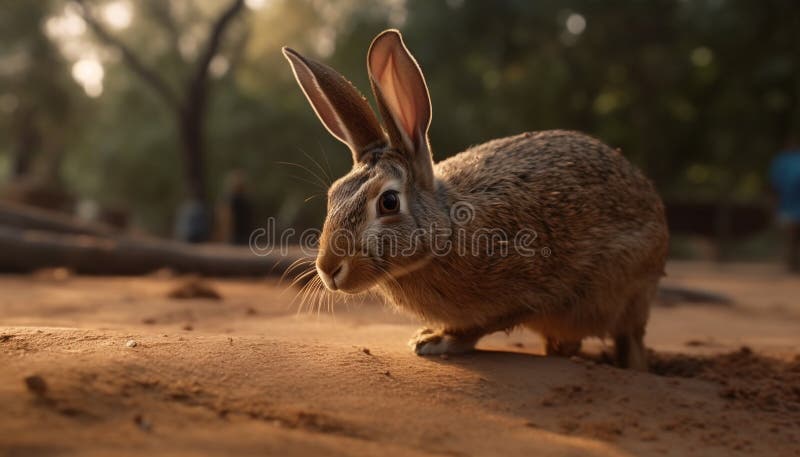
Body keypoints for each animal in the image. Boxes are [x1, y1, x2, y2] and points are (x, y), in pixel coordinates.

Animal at [282, 29, 668, 370]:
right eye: (334, 194)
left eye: (389, 202)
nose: (329, 268)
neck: (447, 229)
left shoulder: (529, 293)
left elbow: (482, 325)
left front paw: (434, 340)